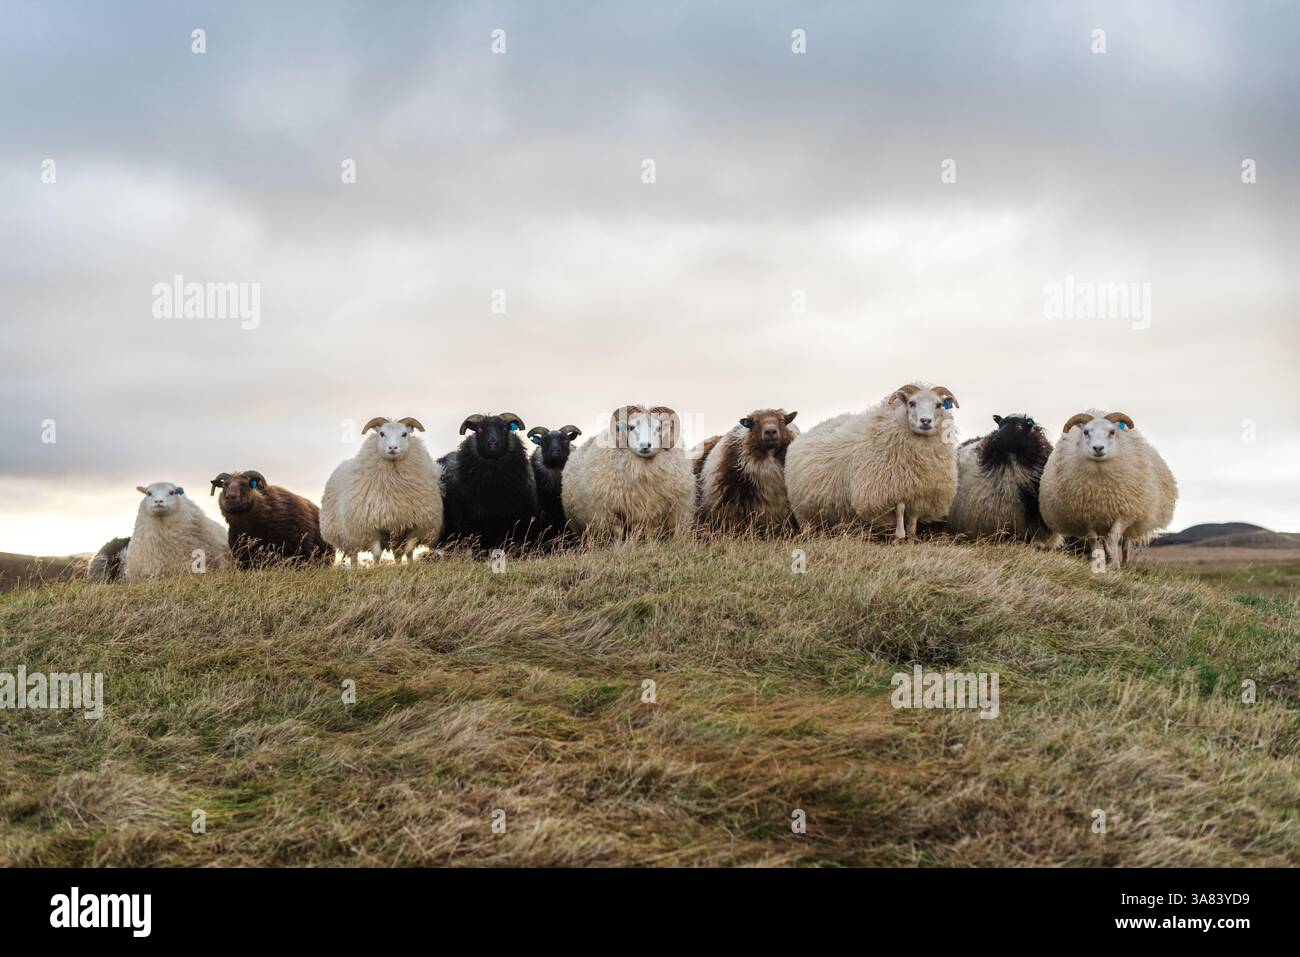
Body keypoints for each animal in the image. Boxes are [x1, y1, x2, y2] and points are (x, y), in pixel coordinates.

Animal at [319, 416, 443, 566]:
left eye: (404, 434)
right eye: (382, 433)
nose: (392, 448)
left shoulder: (416, 526)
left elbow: (408, 552)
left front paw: (410, 566)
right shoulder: (371, 528)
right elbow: (377, 554)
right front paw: (376, 568)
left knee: (397, 554)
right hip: (350, 535)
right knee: (354, 557)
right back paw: (355, 569)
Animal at [437, 412, 539, 551]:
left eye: (505, 428)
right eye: (480, 429)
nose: (493, 443)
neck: (492, 486)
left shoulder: (506, 522)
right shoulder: (474, 523)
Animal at [561, 405, 695, 542]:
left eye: (658, 428)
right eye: (631, 427)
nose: (645, 445)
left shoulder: (656, 513)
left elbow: (651, 535)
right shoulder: (611, 513)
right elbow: (618, 535)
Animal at [785, 383, 960, 540]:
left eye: (938, 405)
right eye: (911, 403)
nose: (925, 421)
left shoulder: (920, 490)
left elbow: (913, 519)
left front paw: (911, 538)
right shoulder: (891, 487)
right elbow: (900, 510)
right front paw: (899, 537)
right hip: (804, 512)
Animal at [1038, 410, 1177, 568]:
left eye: (1112, 432)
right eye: (1086, 432)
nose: (1098, 448)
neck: (1100, 491)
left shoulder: (1124, 513)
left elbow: (1114, 537)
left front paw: (1115, 564)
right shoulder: (1085, 517)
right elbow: (1094, 540)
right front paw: (1098, 561)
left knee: (1125, 542)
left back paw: (1124, 562)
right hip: (1103, 520)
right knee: (1104, 539)